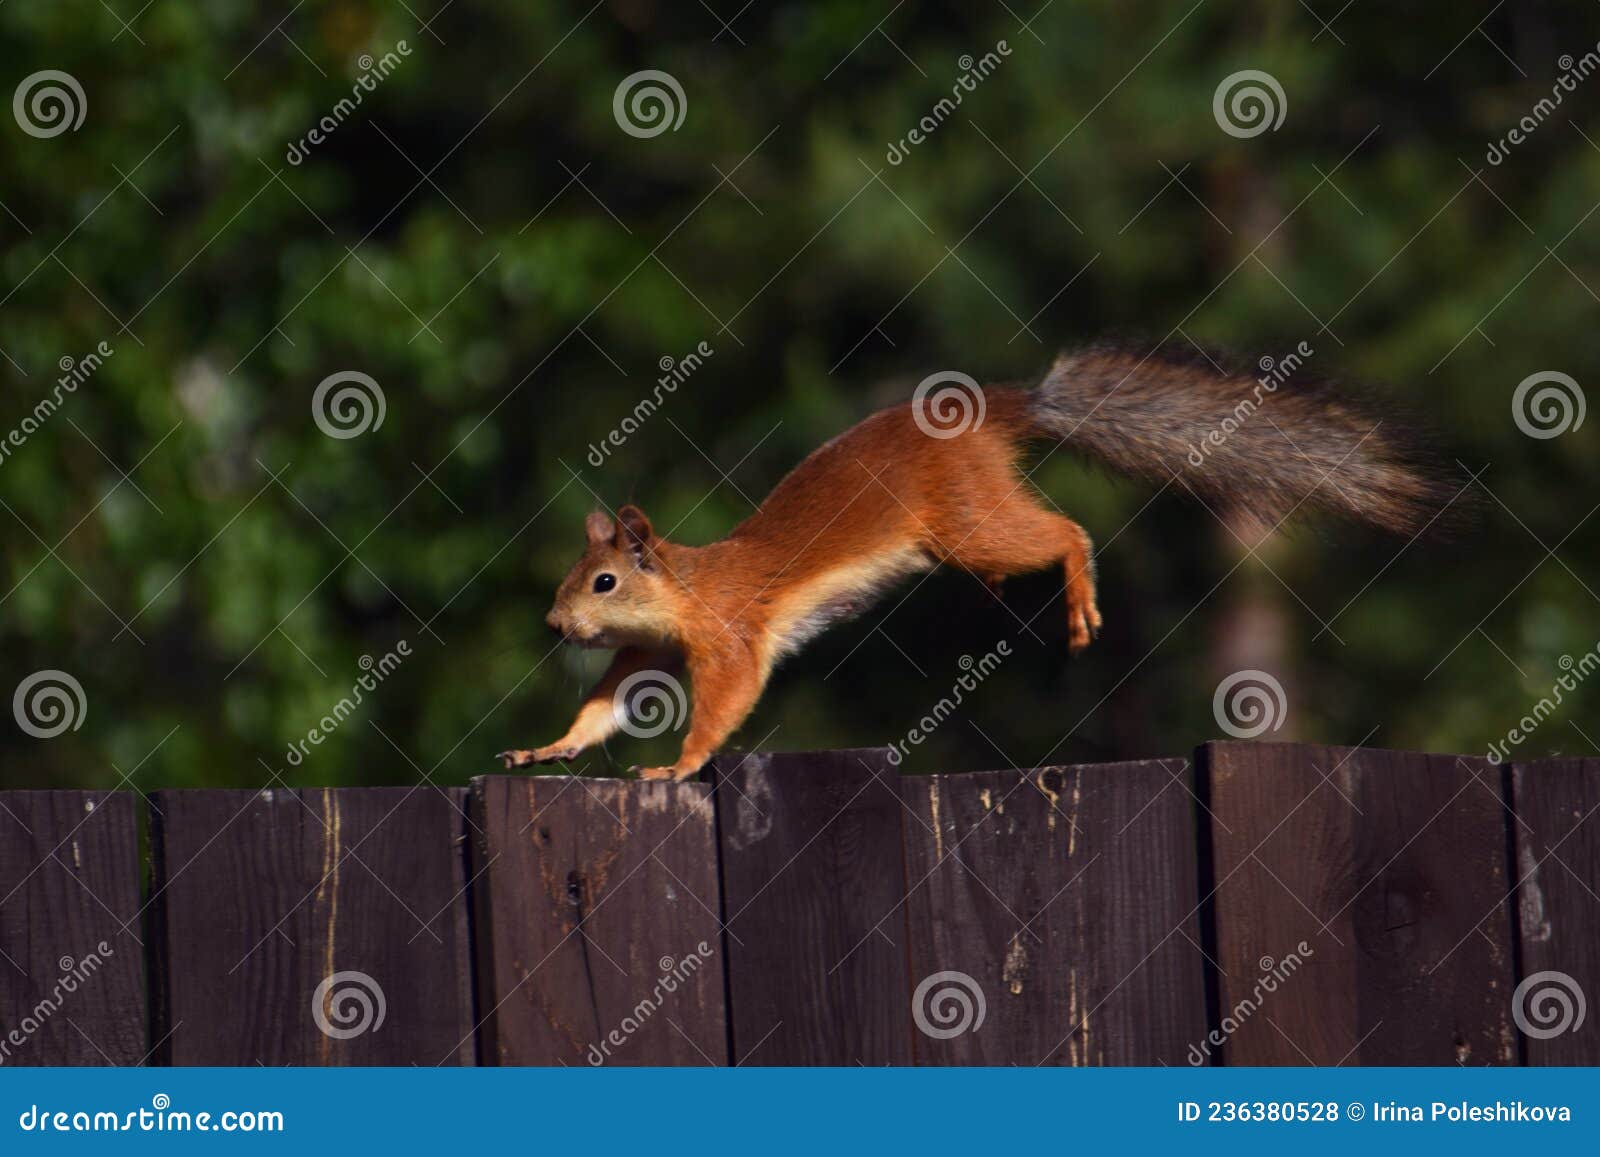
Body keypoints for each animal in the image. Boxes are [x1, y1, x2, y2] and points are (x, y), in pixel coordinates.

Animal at [498, 345, 1452, 781]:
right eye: (573, 581)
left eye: (605, 581)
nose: (552, 622)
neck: (687, 587)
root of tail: (996, 409)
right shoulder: (651, 650)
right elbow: (603, 707)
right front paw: (545, 747)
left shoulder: (728, 635)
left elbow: (723, 703)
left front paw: (678, 765)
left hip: (965, 517)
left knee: (1064, 529)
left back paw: (1078, 594)